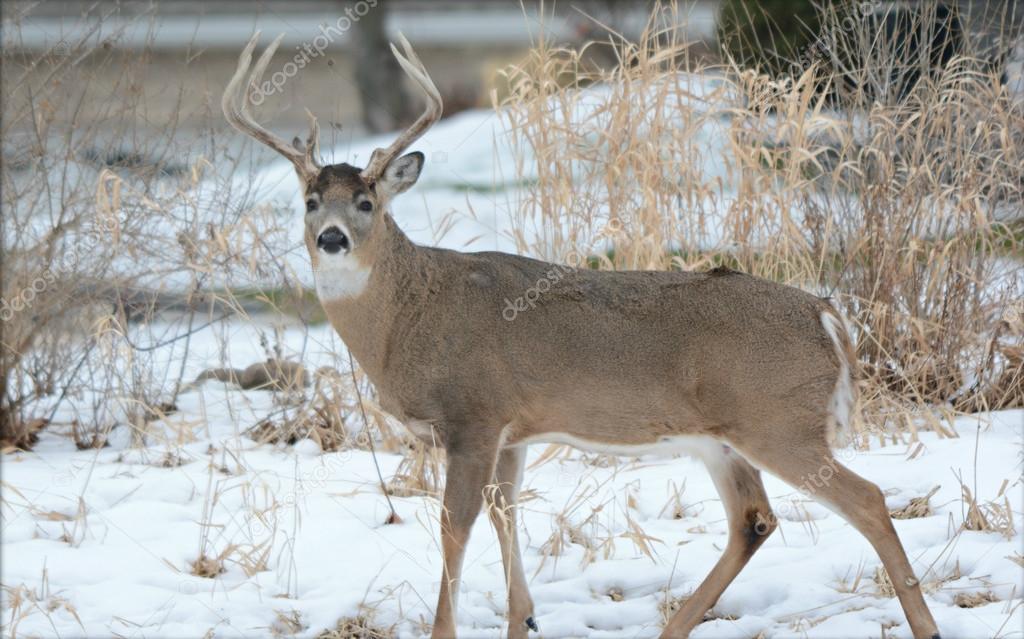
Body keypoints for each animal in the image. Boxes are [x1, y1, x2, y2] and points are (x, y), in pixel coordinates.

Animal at [223, 32, 941, 639]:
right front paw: (524, 619)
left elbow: (456, 525)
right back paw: (673, 629)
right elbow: (506, 513)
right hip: (722, 438)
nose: (332, 238)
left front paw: (447, 630)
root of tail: (826, 315)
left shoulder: (472, 414)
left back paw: (925, 625)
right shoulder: (511, 430)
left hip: (778, 420)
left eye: (367, 202)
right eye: (310, 202)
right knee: (754, 518)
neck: (409, 317)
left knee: (868, 499)